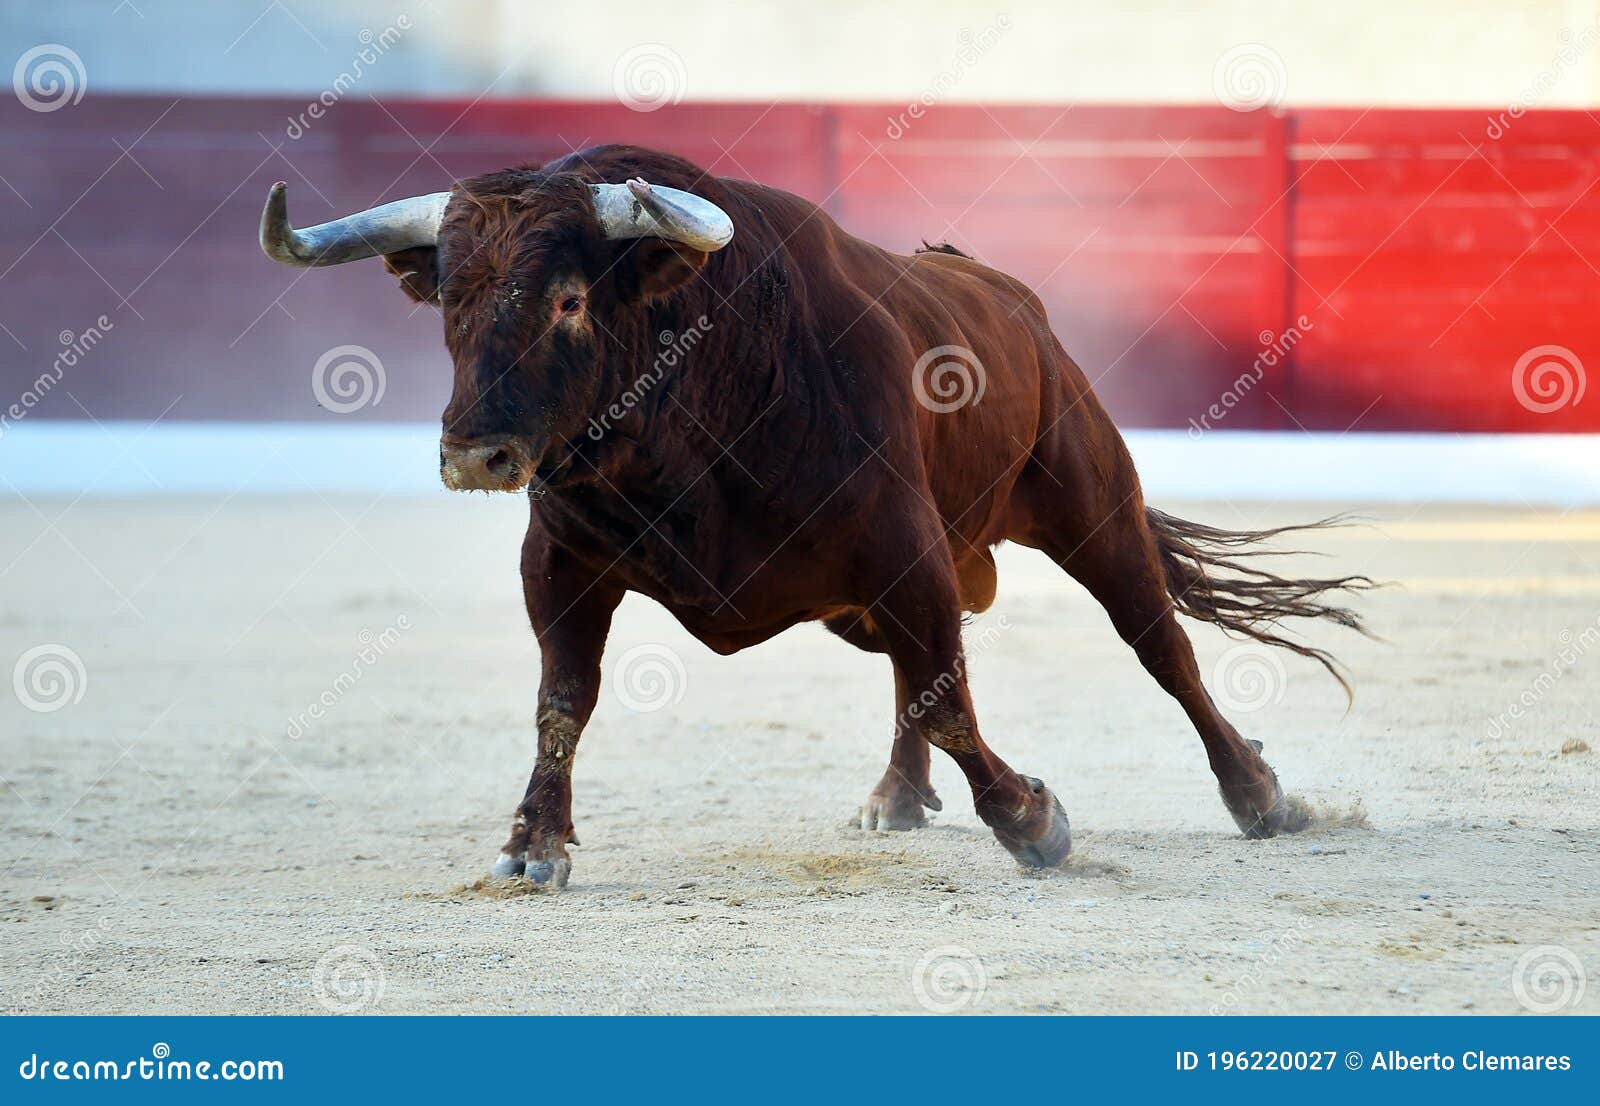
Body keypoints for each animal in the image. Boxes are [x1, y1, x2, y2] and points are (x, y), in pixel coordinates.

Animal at [260, 144, 1370, 890]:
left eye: (570, 299)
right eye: (450, 301)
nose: (474, 455)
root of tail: (1007, 296)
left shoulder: (903, 548)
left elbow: (957, 701)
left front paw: (1032, 820)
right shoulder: (561, 561)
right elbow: (561, 699)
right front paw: (532, 844)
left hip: (1088, 502)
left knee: (1157, 644)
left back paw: (1259, 795)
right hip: (867, 593)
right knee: (916, 670)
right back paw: (896, 797)